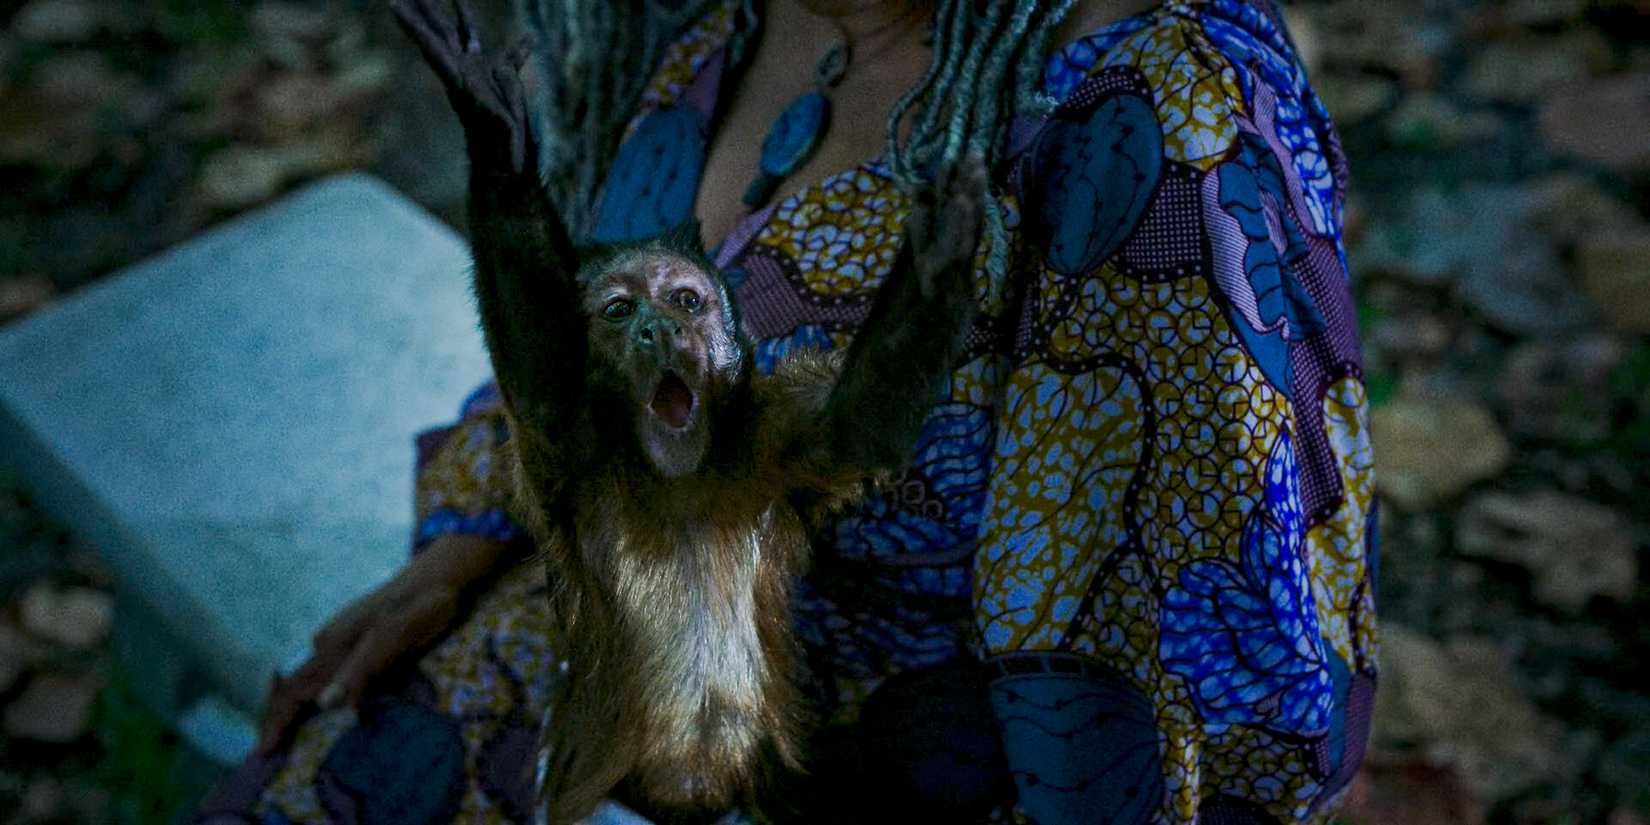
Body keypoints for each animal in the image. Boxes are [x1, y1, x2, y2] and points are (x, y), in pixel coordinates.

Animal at [392, 2, 984, 822]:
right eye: (618, 310)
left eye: (684, 300)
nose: (658, 331)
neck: (676, 477)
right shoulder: (566, 442)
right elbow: (539, 368)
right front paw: (498, 142)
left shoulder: (772, 437)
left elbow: (858, 426)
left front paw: (940, 251)